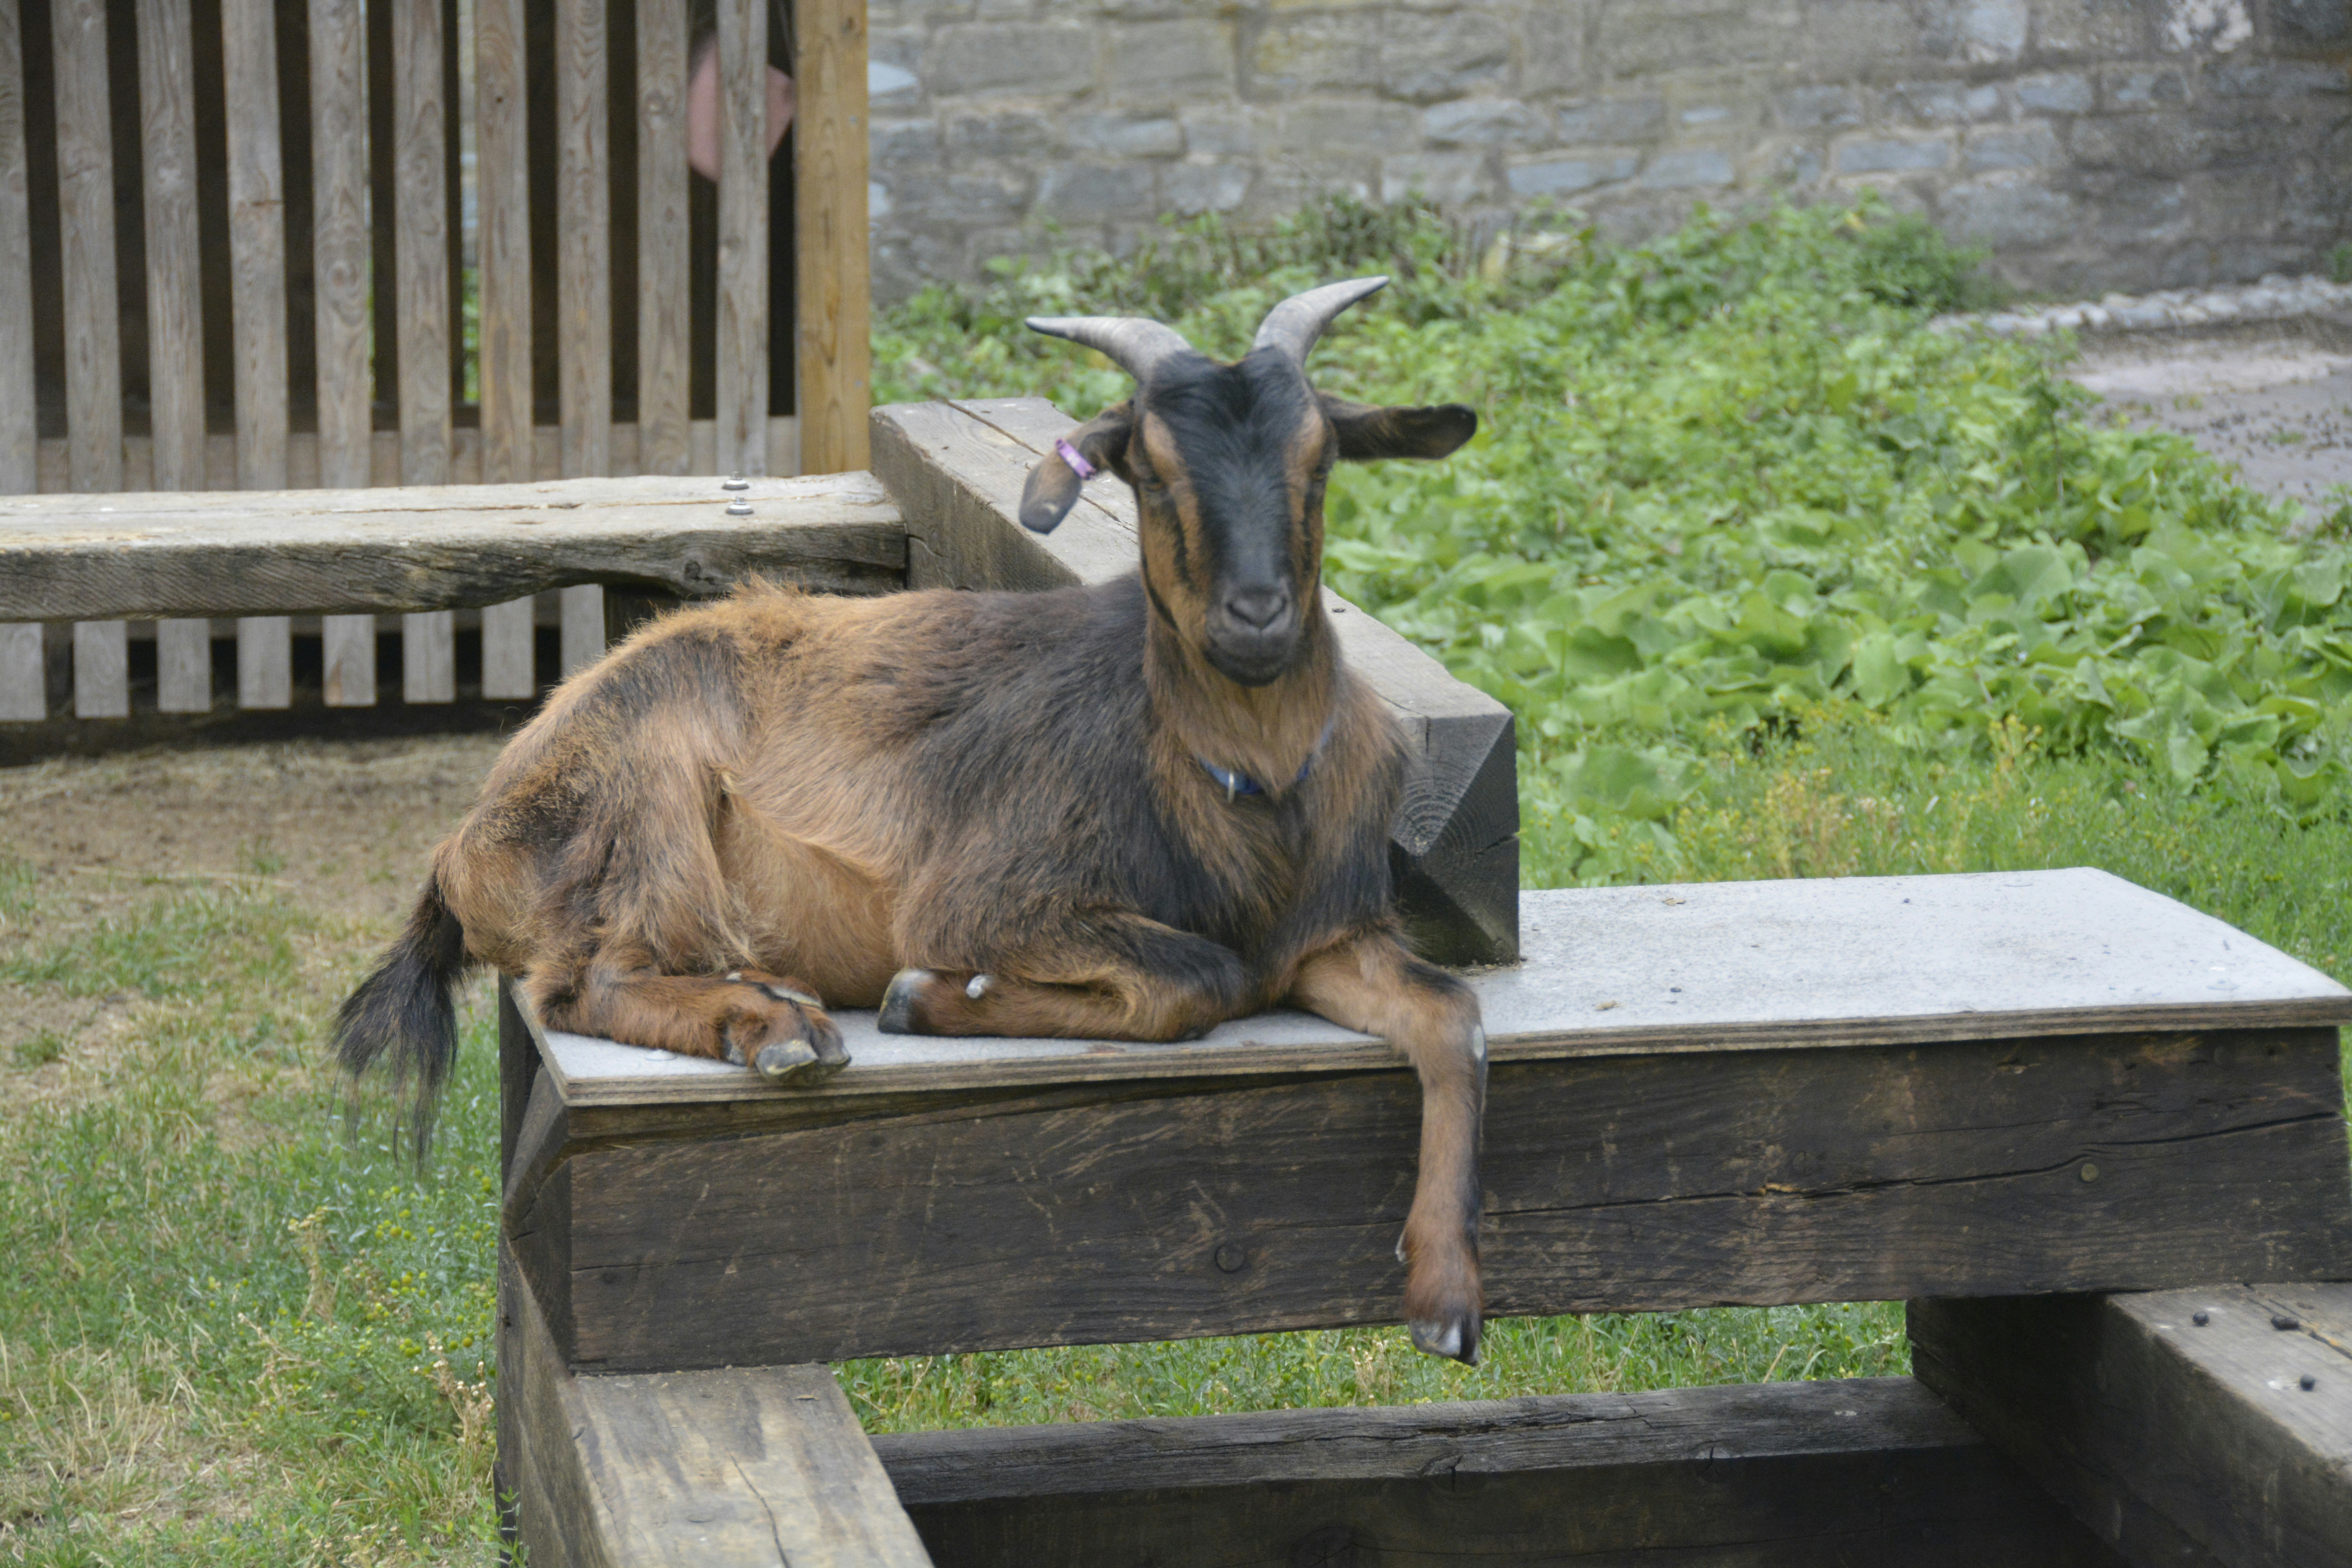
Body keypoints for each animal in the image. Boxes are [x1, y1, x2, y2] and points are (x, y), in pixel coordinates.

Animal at [334, 278, 1492, 1361]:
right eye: (1152, 469)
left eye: (1322, 457)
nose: (1256, 619)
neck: (1243, 790)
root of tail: (463, 846)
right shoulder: (985, 899)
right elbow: (1198, 977)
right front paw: (932, 999)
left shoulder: (1329, 934)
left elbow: (1451, 1016)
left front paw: (1445, 1297)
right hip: (647, 797)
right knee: (590, 982)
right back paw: (777, 1027)